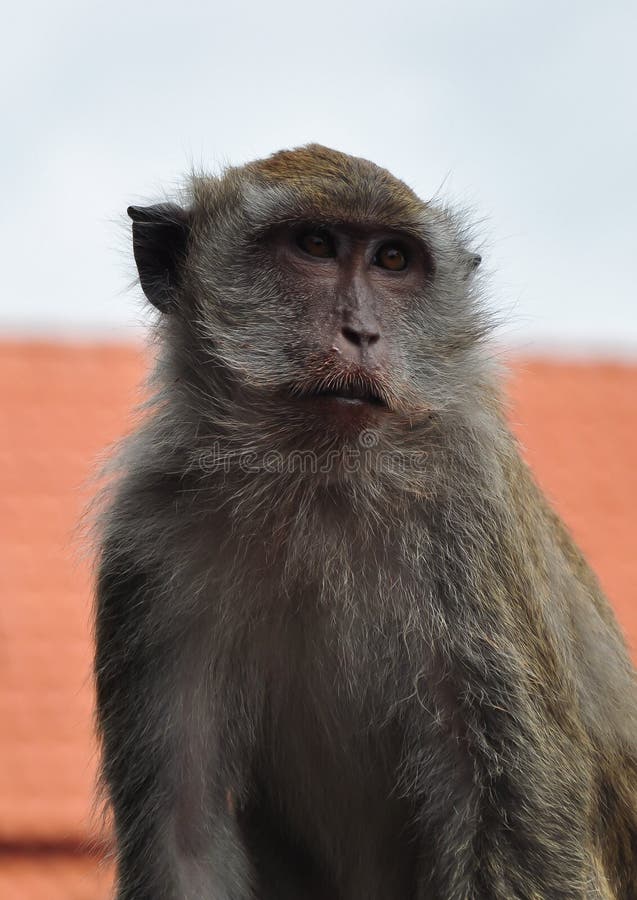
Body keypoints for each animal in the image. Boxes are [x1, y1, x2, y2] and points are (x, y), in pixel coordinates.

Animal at [93, 144, 637, 900]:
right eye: (317, 246)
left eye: (392, 260)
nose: (362, 333)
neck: (313, 481)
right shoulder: (146, 539)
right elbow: (184, 836)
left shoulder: (470, 514)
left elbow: (523, 834)